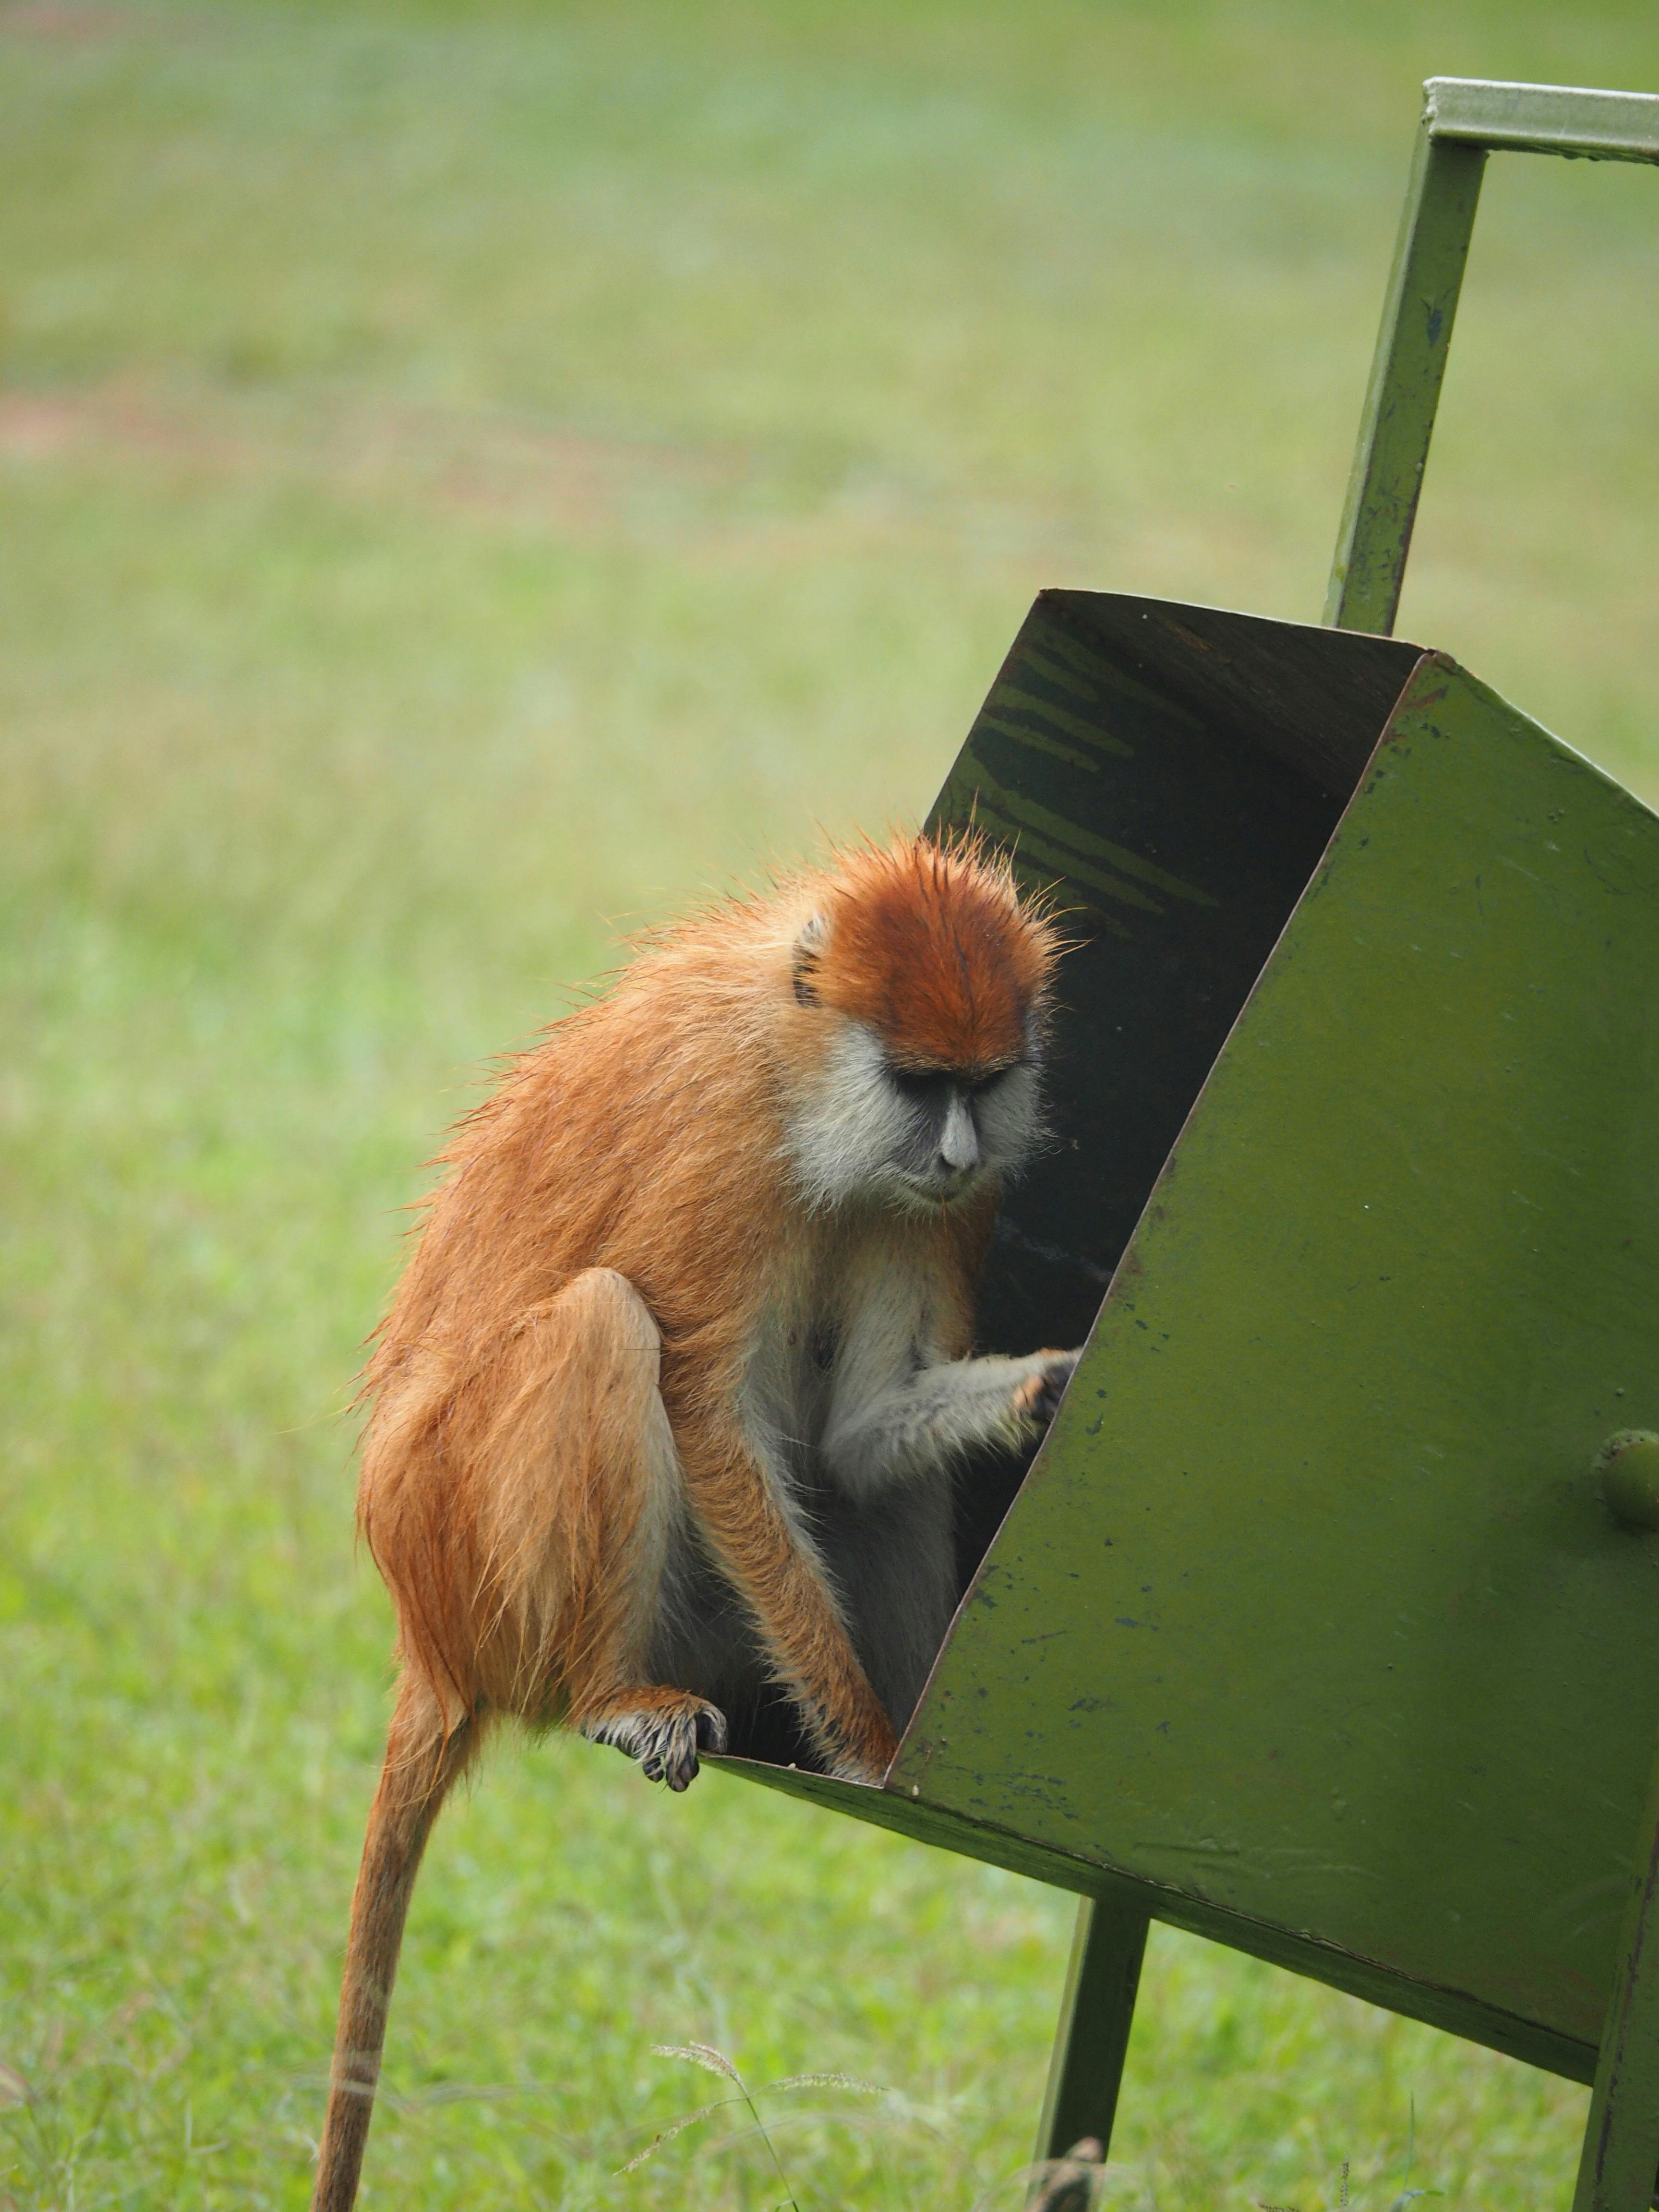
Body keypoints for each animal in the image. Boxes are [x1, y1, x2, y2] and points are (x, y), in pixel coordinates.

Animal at [311, 831, 1082, 2212]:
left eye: (984, 1085)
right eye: (917, 1082)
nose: (953, 1157)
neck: (796, 1047)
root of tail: (427, 1639)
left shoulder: (917, 1204)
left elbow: (862, 1438)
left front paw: (1049, 1386)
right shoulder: (722, 1143)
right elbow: (705, 1411)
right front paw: (870, 1750)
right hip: (473, 1541)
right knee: (605, 1324)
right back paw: (616, 1695)